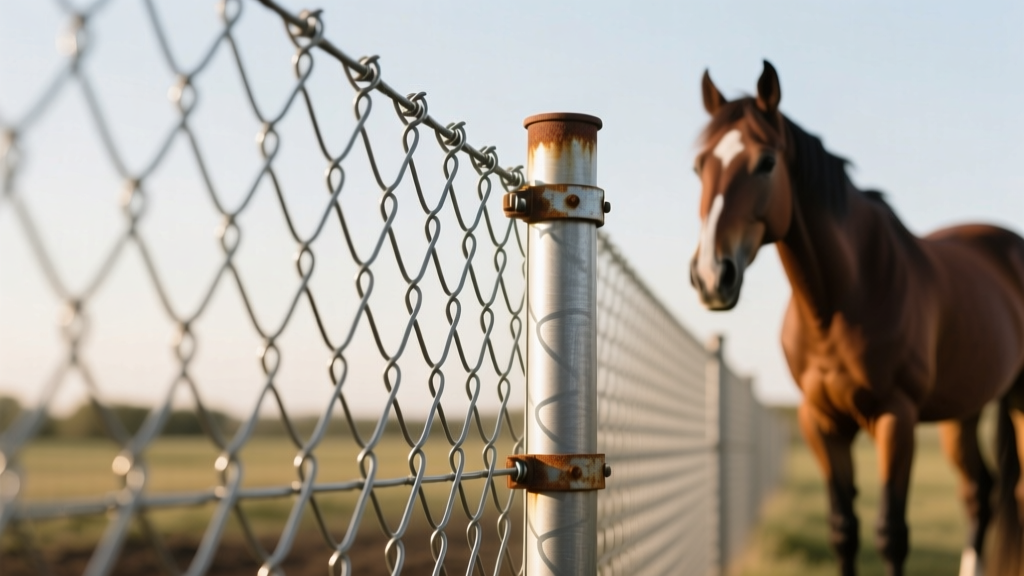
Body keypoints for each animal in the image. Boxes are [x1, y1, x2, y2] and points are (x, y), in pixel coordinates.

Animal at [689, 60, 1024, 576]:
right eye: (699, 166)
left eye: (766, 163)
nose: (711, 275)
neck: (841, 301)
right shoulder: (820, 421)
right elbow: (843, 530)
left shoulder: (896, 418)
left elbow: (891, 533)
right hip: (963, 411)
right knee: (978, 491)